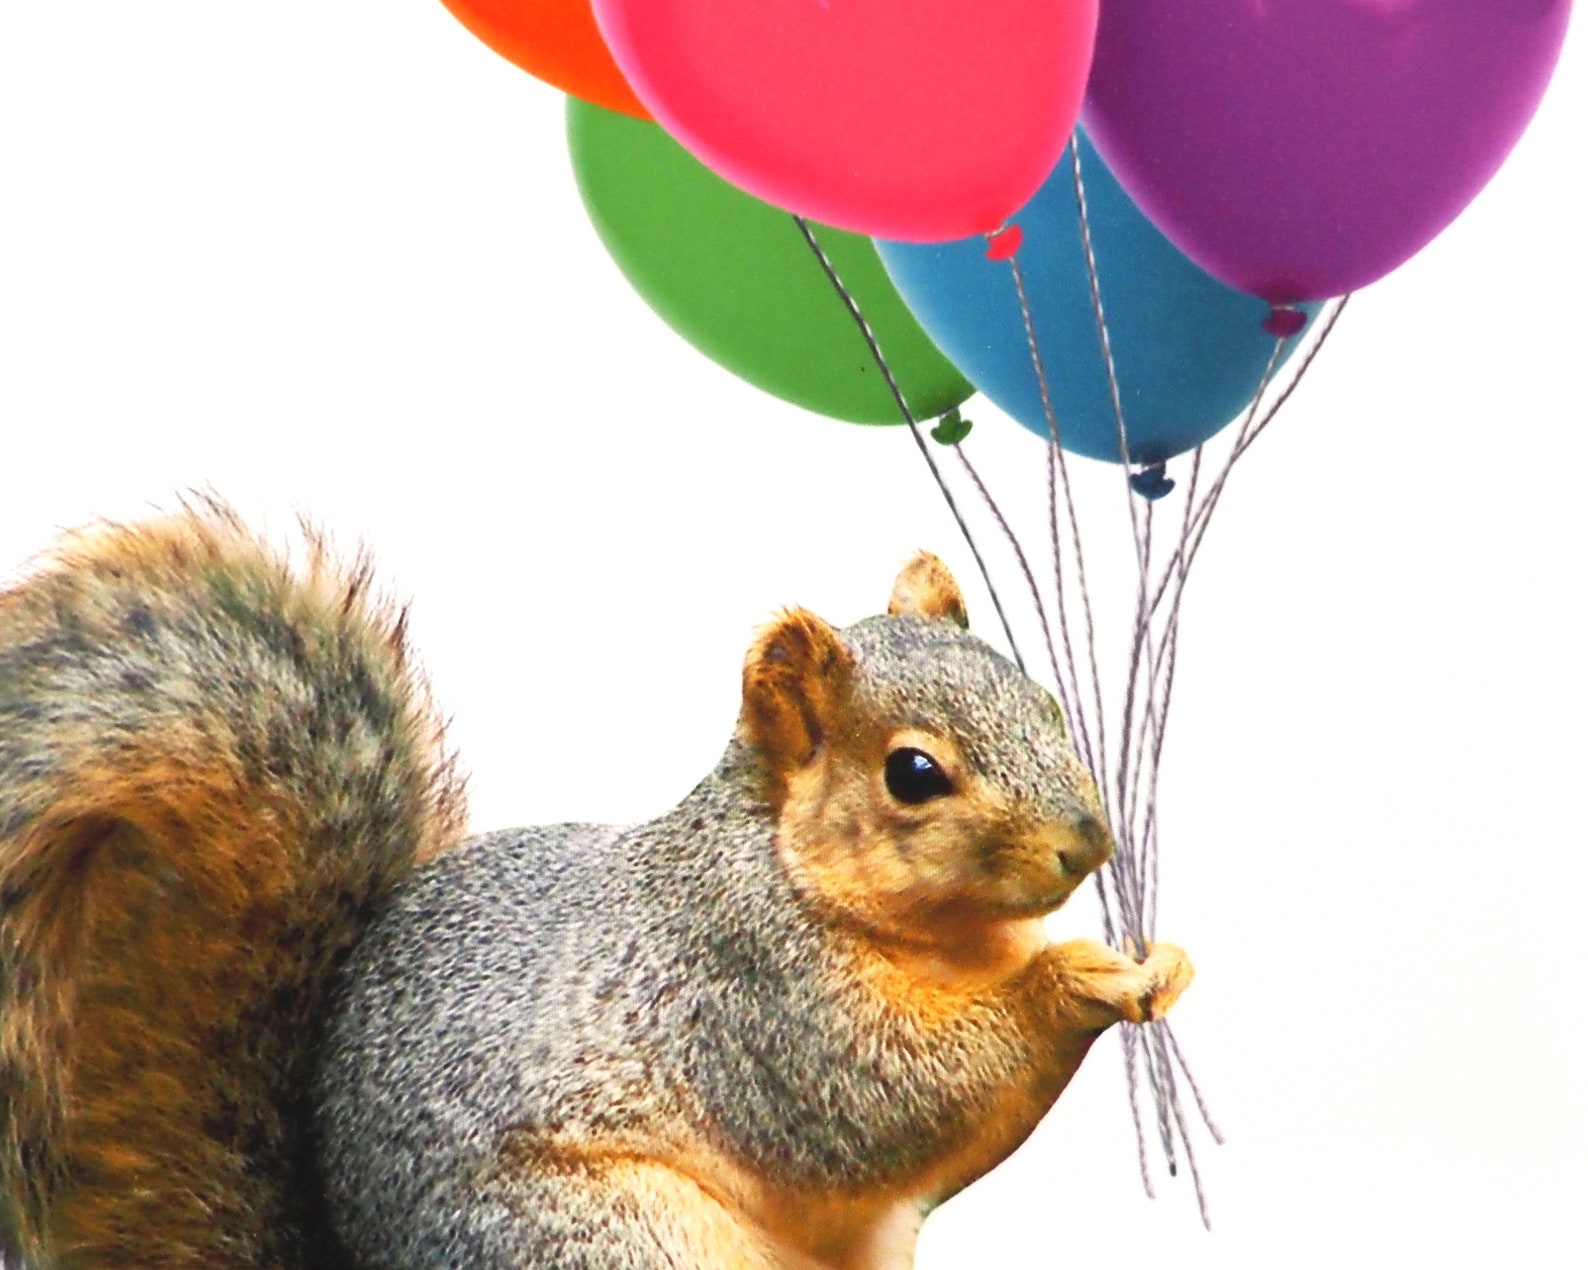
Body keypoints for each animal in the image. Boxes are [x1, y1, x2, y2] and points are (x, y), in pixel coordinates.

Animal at [0, 500, 1193, 1270]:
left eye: (1041, 701)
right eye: (913, 774)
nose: (1088, 842)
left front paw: (1159, 962)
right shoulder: (749, 994)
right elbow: (883, 1094)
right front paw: (1071, 983)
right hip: (609, 1238)